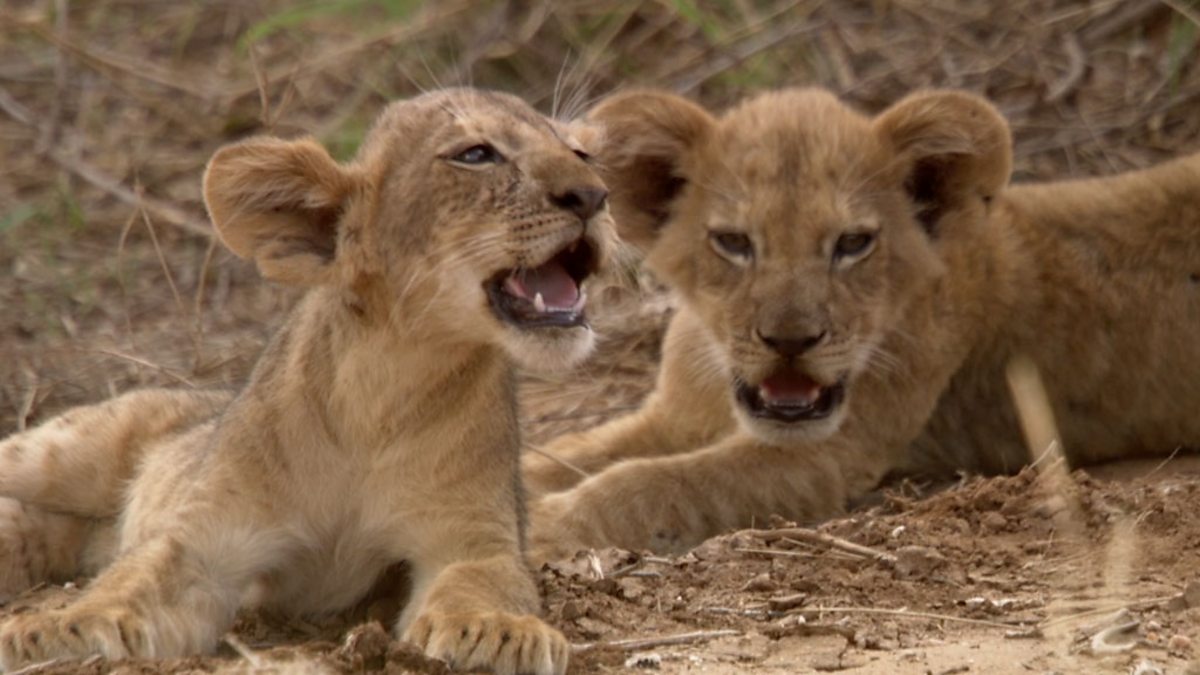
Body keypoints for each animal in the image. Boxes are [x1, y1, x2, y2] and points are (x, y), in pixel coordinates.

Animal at [0, 88, 613, 675]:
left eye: (581, 153)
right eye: (477, 155)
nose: (594, 196)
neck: (389, 379)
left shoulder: (472, 537)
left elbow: (480, 582)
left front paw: (496, 631)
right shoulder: (206, 540)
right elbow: (132, 581)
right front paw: (53, 629)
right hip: (66, 449)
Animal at [522, 87, 1200, 563]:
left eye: (852, 243)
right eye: (734, 243)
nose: (790, 342)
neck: (719, 375)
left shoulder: (830, 453)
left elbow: (655, 483)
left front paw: (545, 527)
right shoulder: (669, 418)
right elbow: (573, 453)